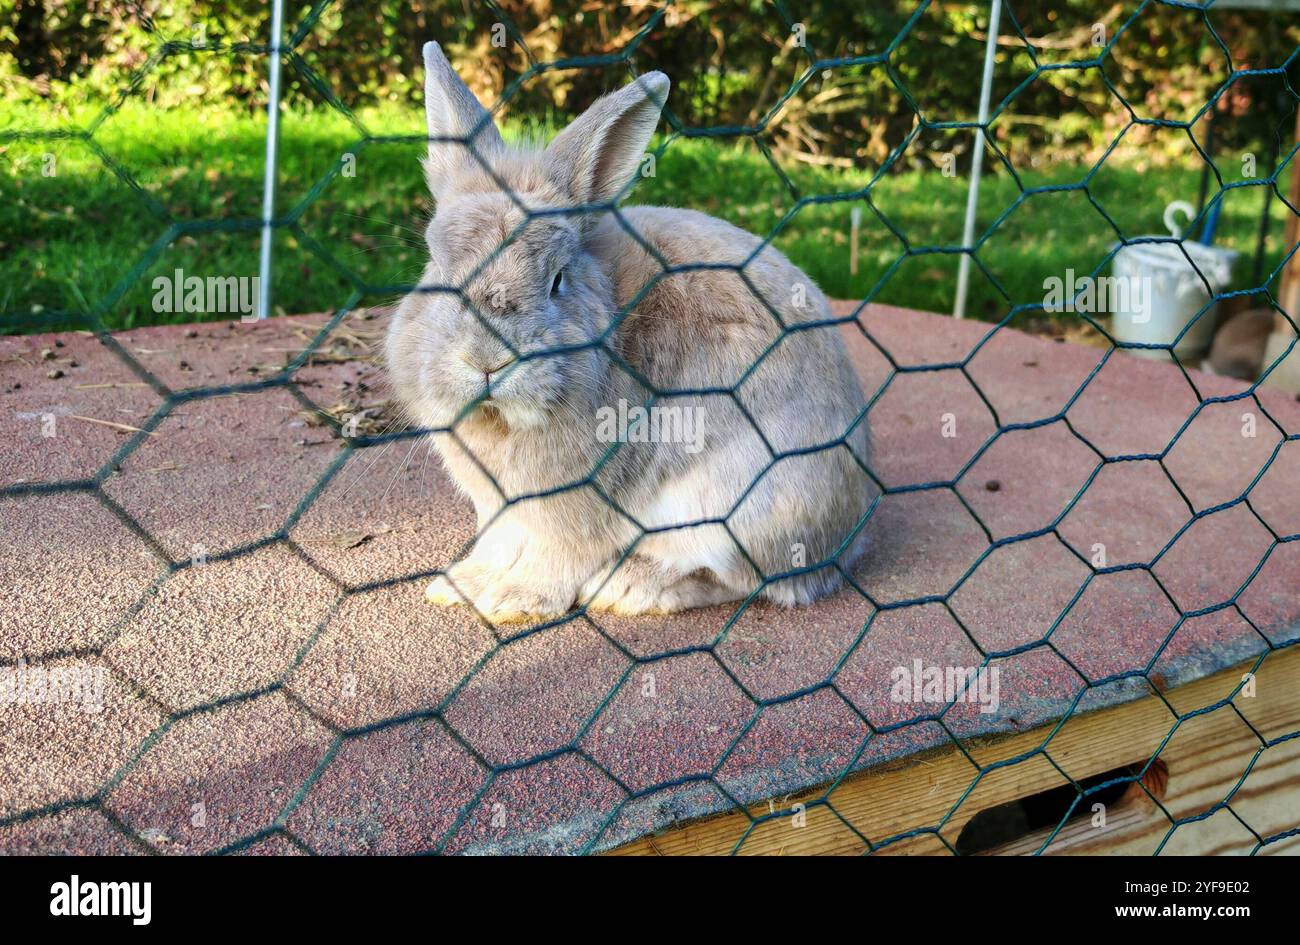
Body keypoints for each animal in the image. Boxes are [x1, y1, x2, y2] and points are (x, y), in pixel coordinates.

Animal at [385, 41, 874, 622]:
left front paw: (515, 601)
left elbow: (556, 557)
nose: (486, 360)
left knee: (740, 579)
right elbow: (500, 542)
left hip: (742, 505)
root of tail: (850, 531)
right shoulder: (501, 509)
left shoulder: (575, 509)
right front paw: (462, 584)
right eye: (437, 266)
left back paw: (626, 587)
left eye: (557, 280)